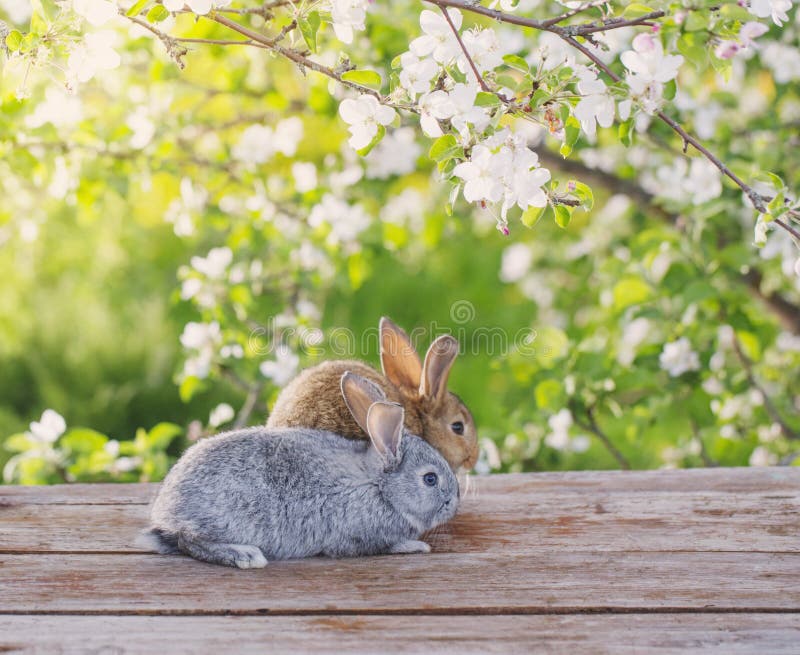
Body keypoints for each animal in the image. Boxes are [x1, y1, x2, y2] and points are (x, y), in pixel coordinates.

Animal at [137, 372, 460, 569]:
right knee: (189, 540)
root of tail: (166, 510)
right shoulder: (357, 536)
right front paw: (415, 546)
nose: (454, 502)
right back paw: (244, 555)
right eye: (430, 479)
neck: (379, 486)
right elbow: (384, 546)